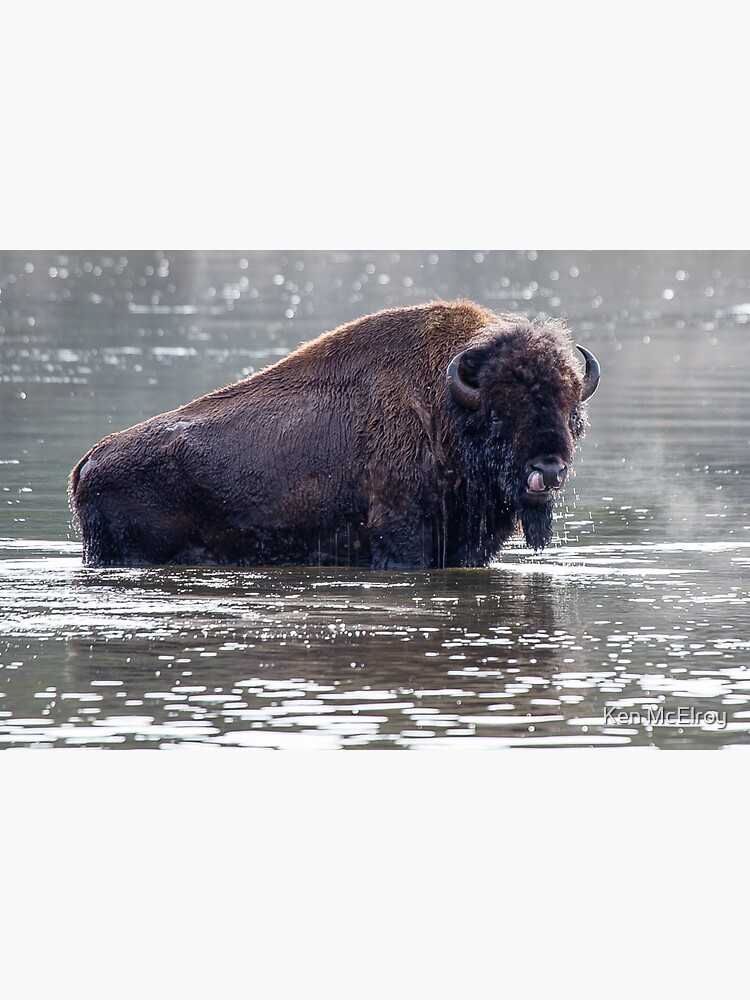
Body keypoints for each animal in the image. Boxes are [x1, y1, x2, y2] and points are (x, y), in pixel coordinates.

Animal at [69, 300, 600, 569]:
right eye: (500, 411)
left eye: (570, 407)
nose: (548, 468)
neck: (447, 406)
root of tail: (89, 462)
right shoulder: (402, 537)